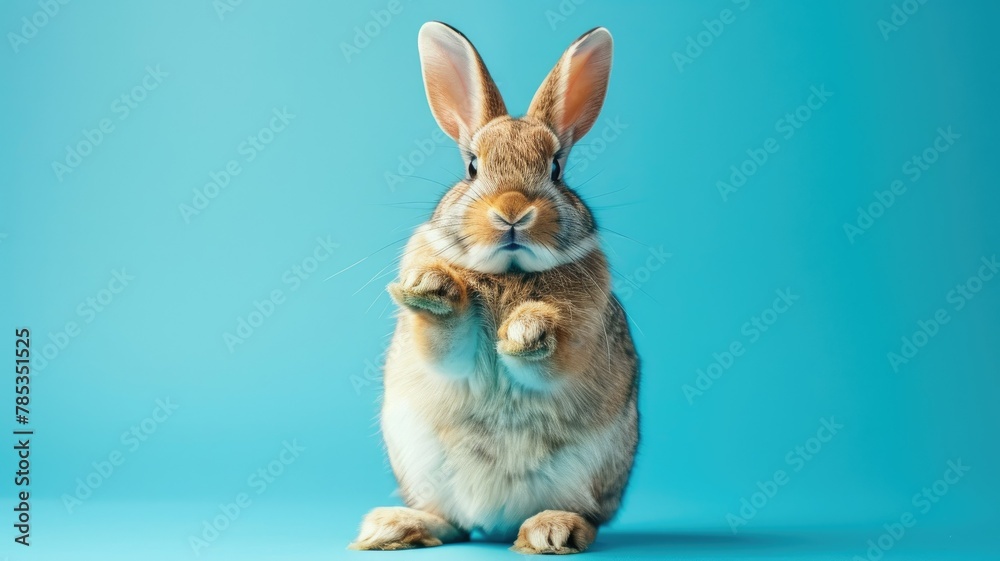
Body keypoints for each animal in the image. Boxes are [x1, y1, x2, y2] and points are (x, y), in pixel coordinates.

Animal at [349, 21, 639, 555]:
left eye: (556, 169)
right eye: (472, 167)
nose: (512, 211)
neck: (508, 274)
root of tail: (495, 520)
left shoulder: (581, 333)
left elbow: (548, 354)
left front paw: (526, 329)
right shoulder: (441, 349)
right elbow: (444, 340)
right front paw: (432, 285)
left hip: (592, 472)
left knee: (586, 517)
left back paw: (551, 531)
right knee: (450, 523)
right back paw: (393, 527)